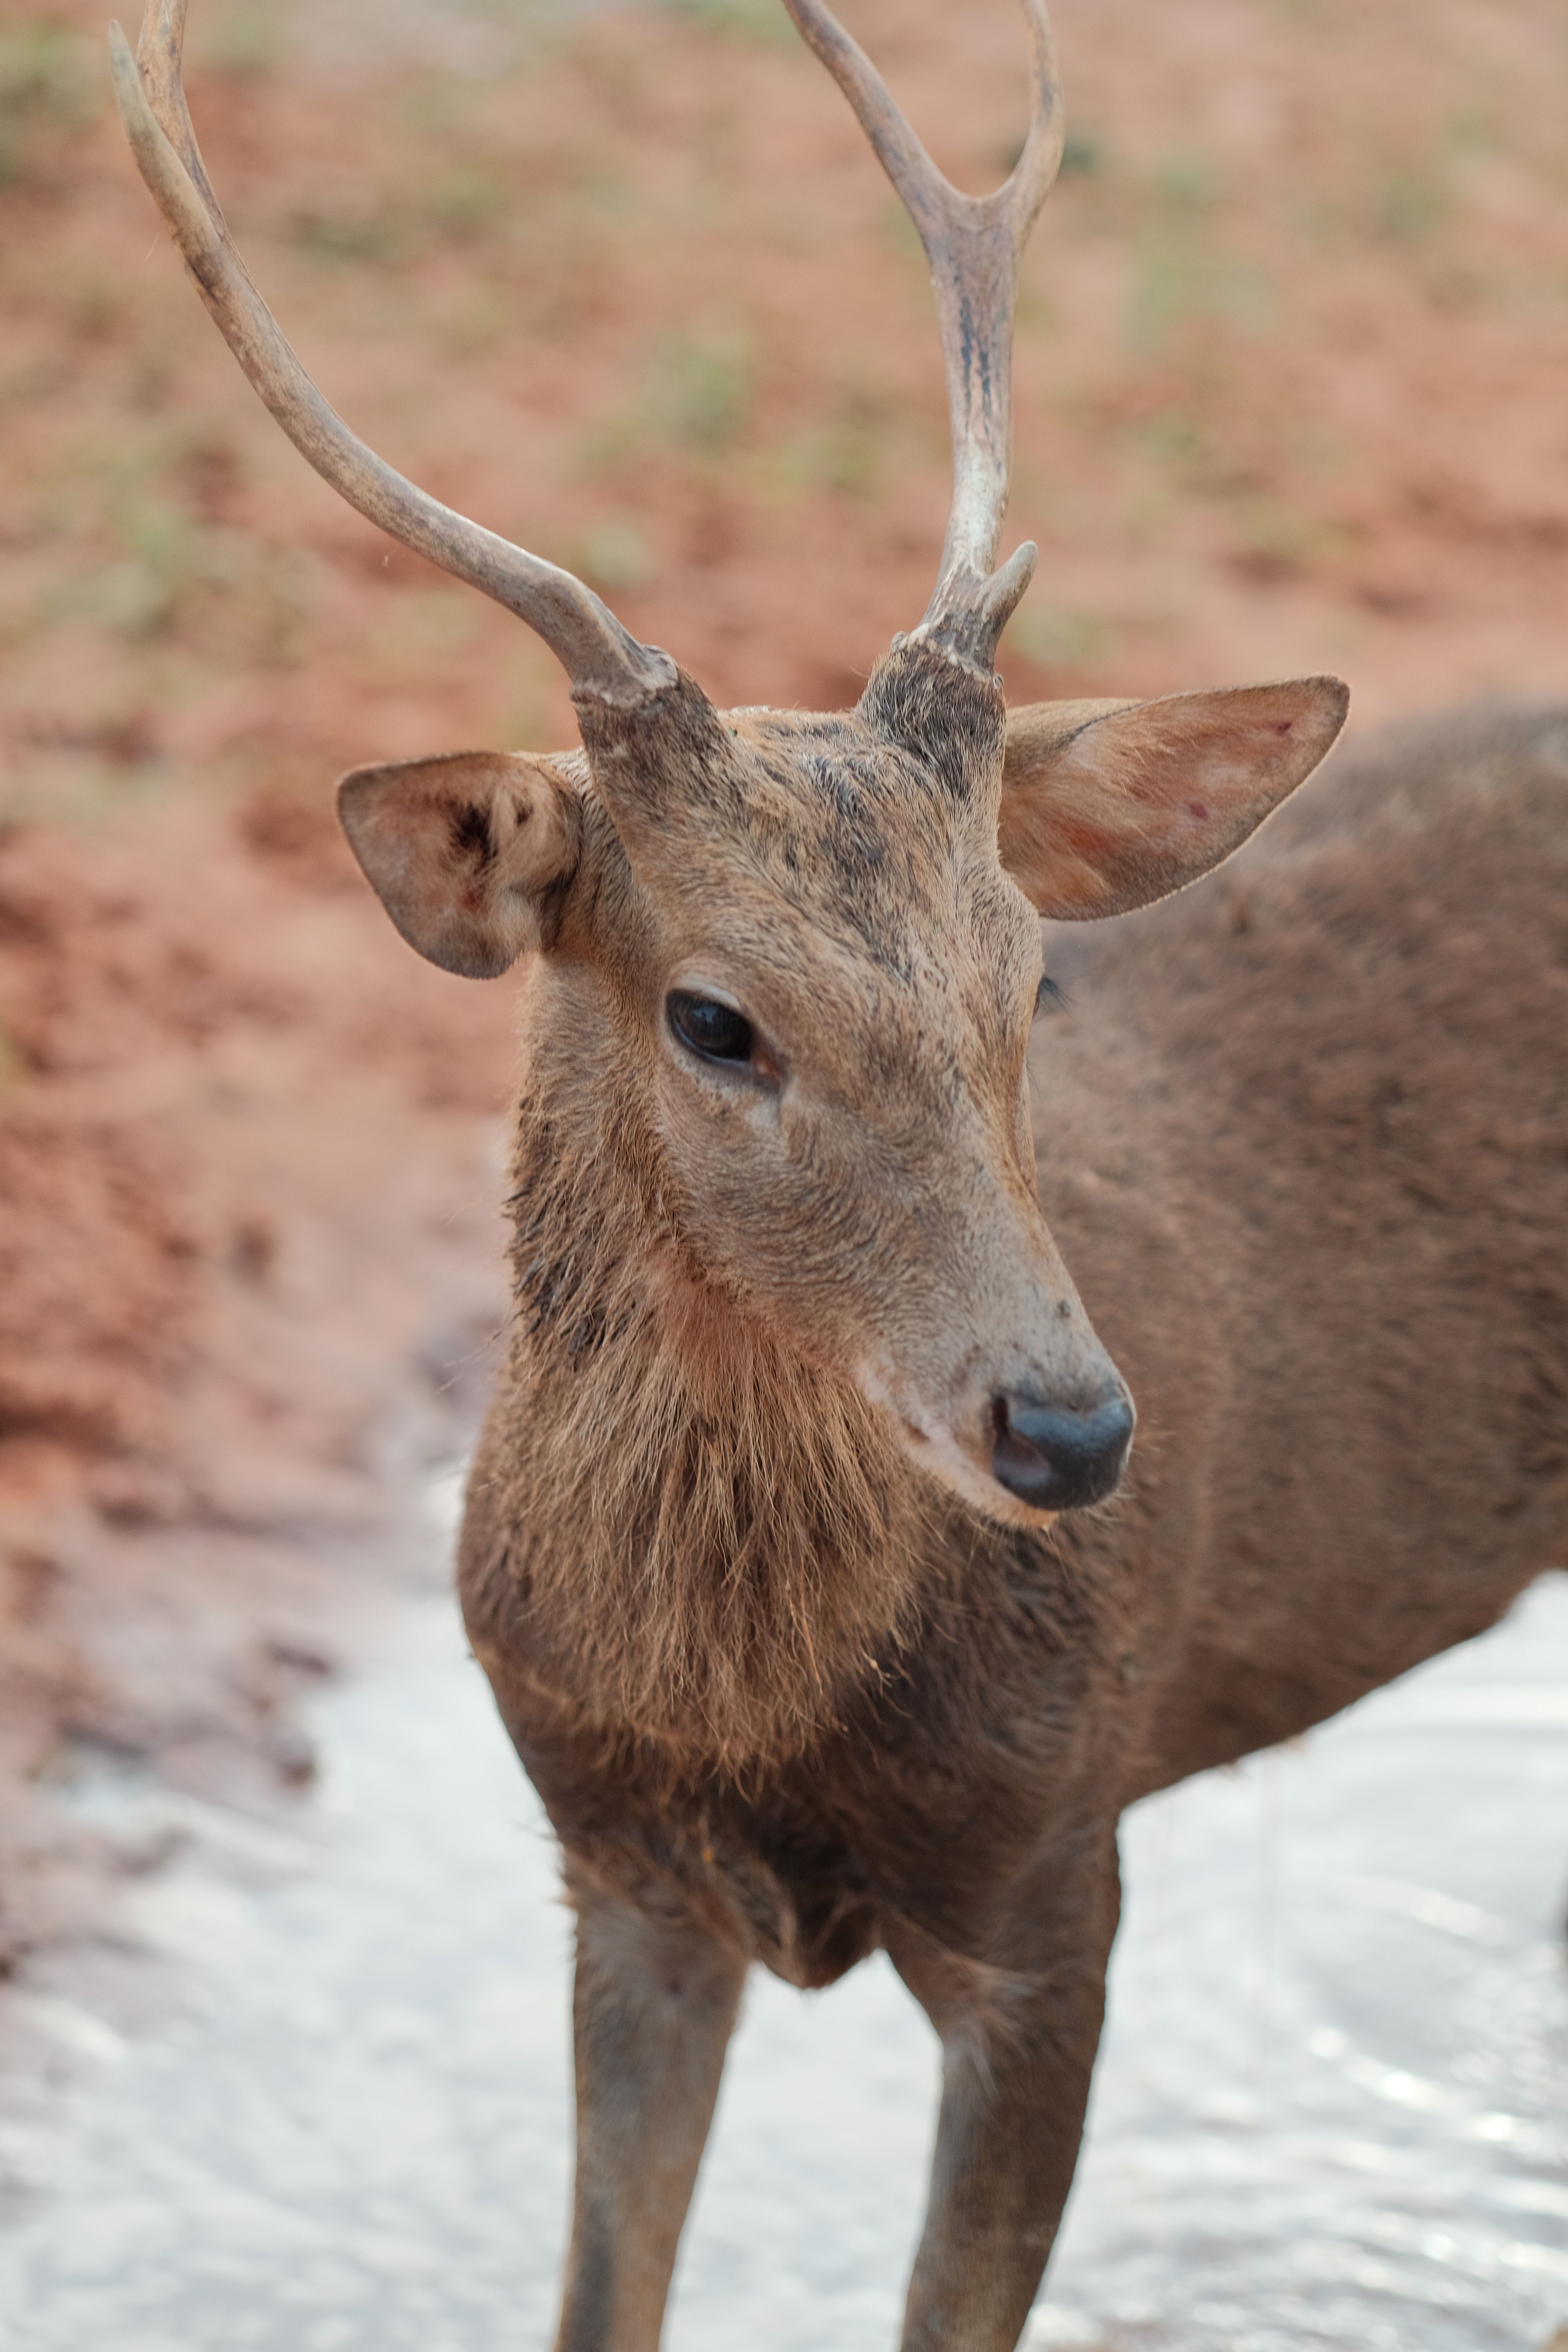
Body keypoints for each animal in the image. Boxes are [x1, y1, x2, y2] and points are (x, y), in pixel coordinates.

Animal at [111, 1, 1568, 2345]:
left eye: (1022, 965)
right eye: (716, 1019)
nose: (1070, 1433)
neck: (743, 1717)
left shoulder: (1061, 1869)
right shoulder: (612, 1874)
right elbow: (596, 2297)